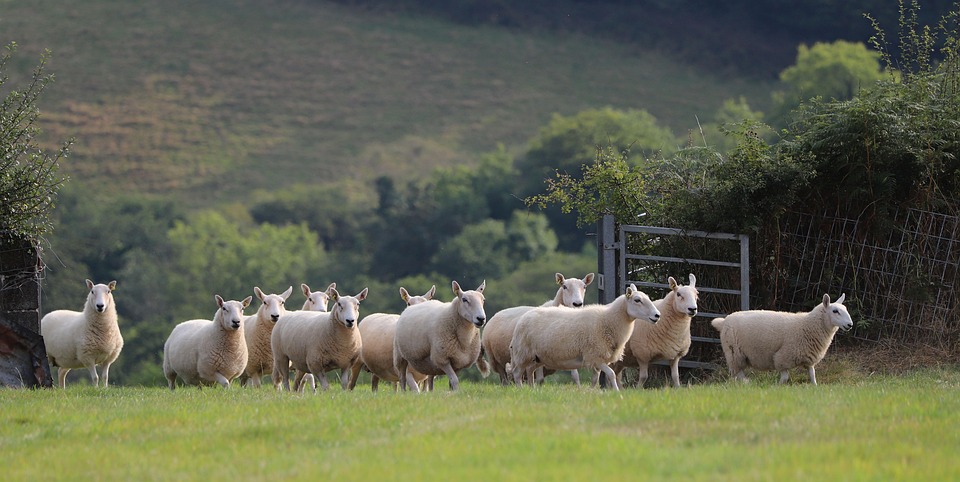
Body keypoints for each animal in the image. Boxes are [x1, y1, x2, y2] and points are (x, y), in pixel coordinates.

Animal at [508, 283, 661, 392]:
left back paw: (532, 389)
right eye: (637, 300)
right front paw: (617, 393)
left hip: (538, 356)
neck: (608, 321)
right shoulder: (594, 356)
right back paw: (521, 390)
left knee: (529, 370)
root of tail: (524, 317)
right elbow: (611, 374)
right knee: (517, 373)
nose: (657, 315)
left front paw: (592, 391)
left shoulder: (597, 358)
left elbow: (595, 378)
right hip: (523, 353)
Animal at [710, 293, 853, 385]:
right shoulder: (783, 357)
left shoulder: (808, 357)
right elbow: (785, 377)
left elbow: (812, 375)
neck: (808, 325)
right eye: (835, 311)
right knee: (737, 373)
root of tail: (723, 322)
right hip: (734, 352)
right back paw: (747, 384)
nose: (850, 325)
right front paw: (777, 388)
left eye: (845, 309)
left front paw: (815, 388)